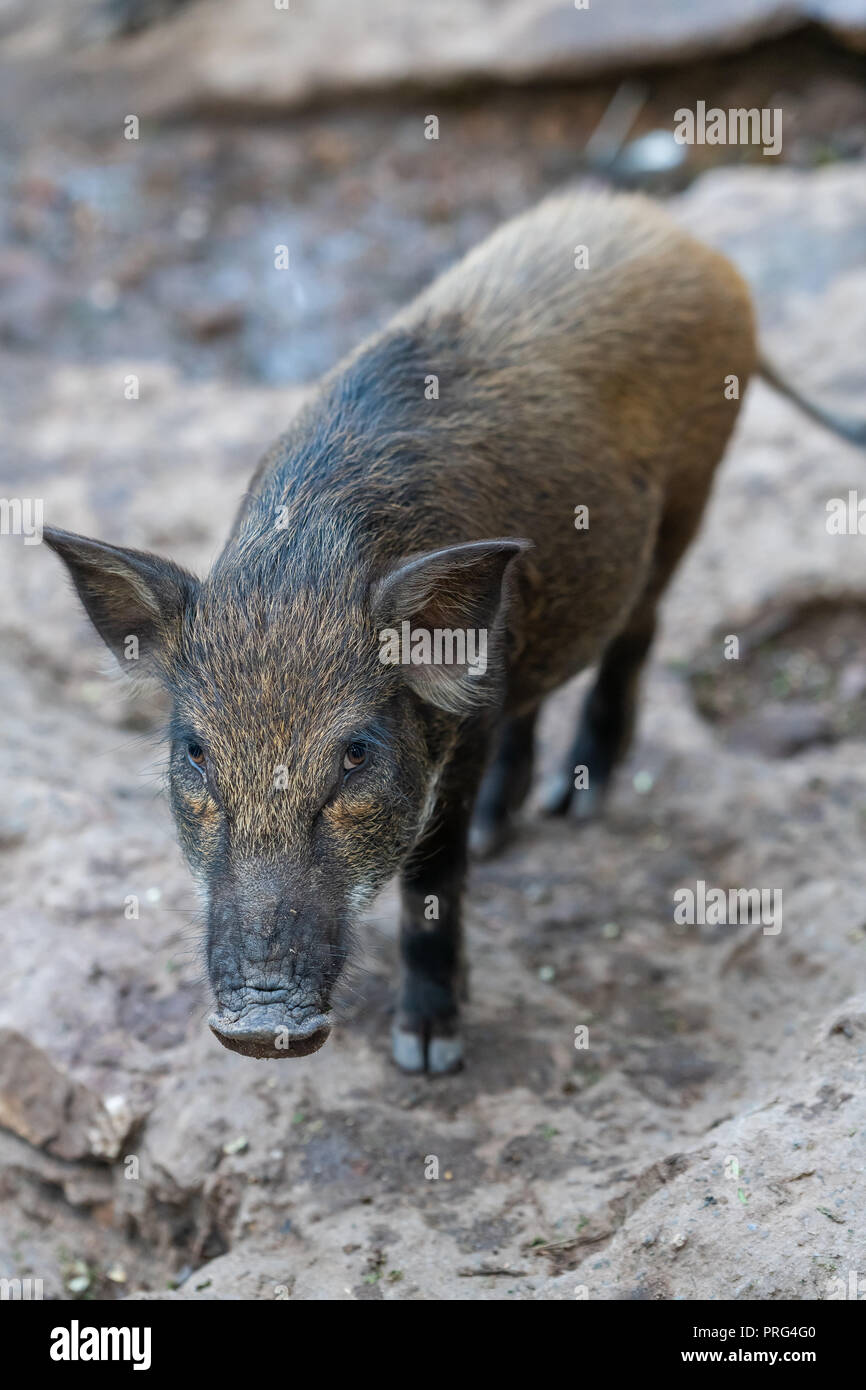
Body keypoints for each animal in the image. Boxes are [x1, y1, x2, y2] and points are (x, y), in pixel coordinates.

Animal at [43, 189, 864, 1072]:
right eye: (194, 751)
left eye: (357, 753)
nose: (264, 1028)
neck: (302, 566)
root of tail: (674, 233)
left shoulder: (458, 743)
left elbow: (431, 883)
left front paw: (429, 1053)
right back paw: (510, 830)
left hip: (688, 500)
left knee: (636, 636)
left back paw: (575, 805)